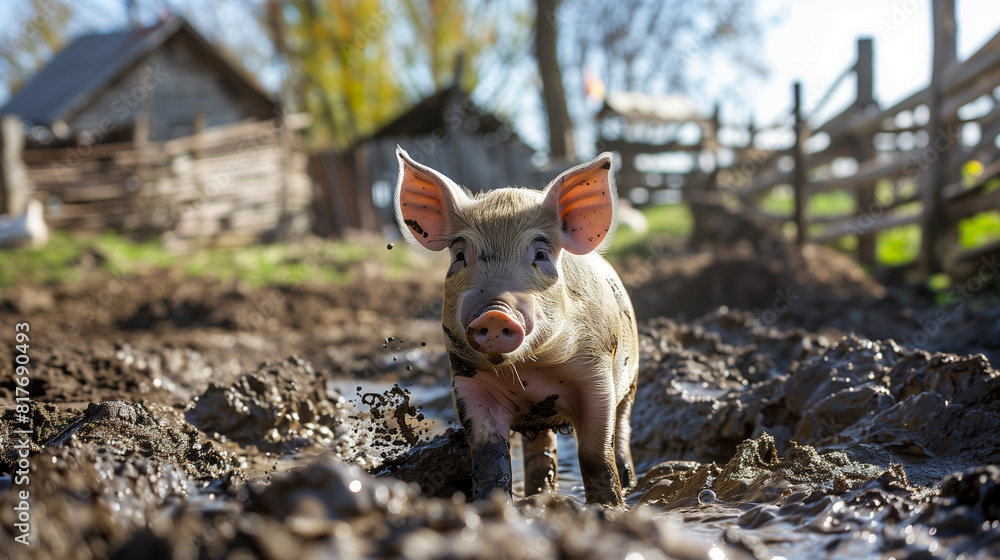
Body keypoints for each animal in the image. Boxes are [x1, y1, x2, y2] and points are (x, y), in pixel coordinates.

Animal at [393, 147, 639, 507]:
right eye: (459, 255)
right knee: (541, 450)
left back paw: (629, 483)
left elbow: (595, 455)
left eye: (540, 255)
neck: (529, 371)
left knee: (621, 431)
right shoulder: (468, 383)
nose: (495, 313)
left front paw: (609, 507)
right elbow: (490, 458)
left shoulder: (597, 376)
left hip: (631, 382)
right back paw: (540, 494)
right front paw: (491, 505)